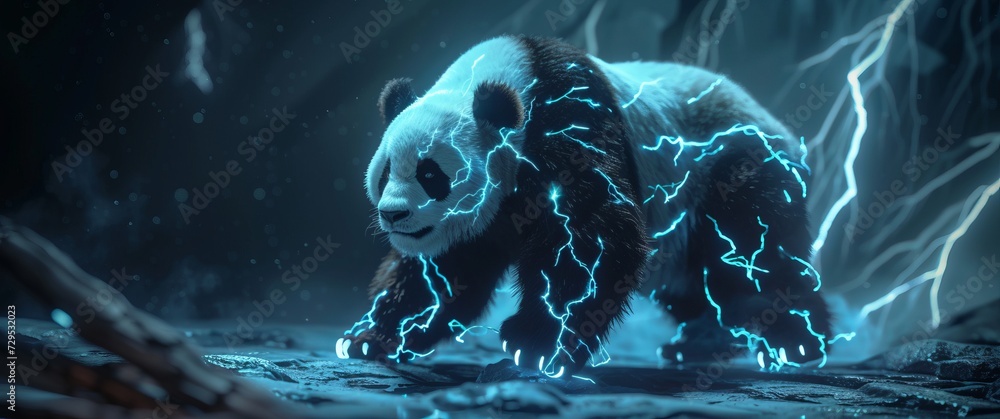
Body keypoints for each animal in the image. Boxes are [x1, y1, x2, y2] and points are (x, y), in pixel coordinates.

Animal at [336, 35, 831, 376]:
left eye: (430, 174)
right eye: (385, 171)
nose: (394, 214)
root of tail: (785, 133)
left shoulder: (569, 126)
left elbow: (589, 239)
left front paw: (536, 343)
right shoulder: (473, 223)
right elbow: (441, 274)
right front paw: (371, 338)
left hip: (732, 168)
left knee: (755, 251)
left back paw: (795, 341)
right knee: (698, 283)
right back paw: (700, 341)